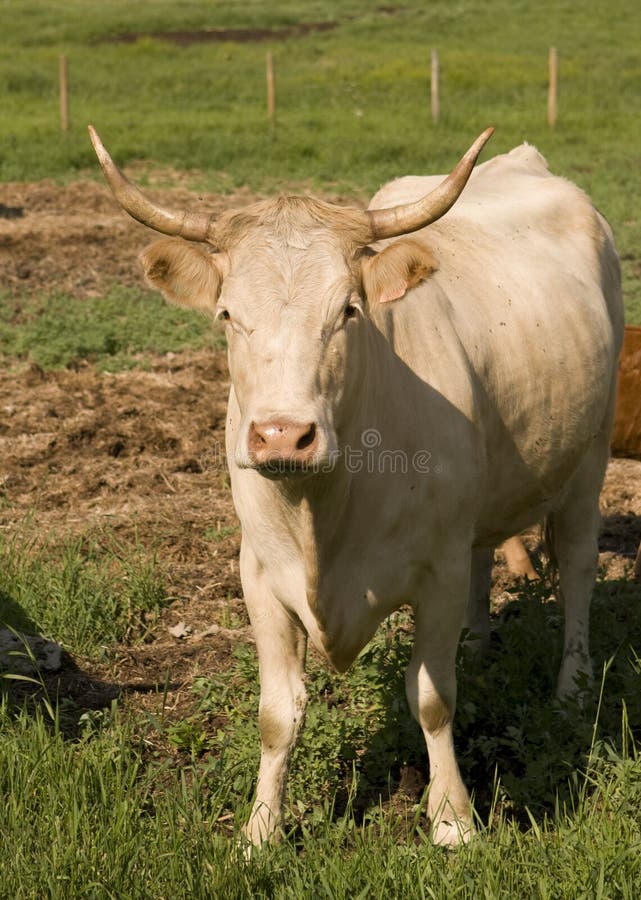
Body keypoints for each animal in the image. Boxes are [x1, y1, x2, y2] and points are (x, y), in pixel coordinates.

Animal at [89, 125, 623, 847]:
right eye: (227, 314)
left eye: (347, 310)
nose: (282, 435)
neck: (323, 510)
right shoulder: (260, 576)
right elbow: (277, 713)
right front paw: (260, 832)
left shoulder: (437, 571)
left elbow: (433, 698)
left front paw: (453, 821)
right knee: (487, 552)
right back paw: (480, 645)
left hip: (589, 453)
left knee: (575, 564)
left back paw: (570, 688)